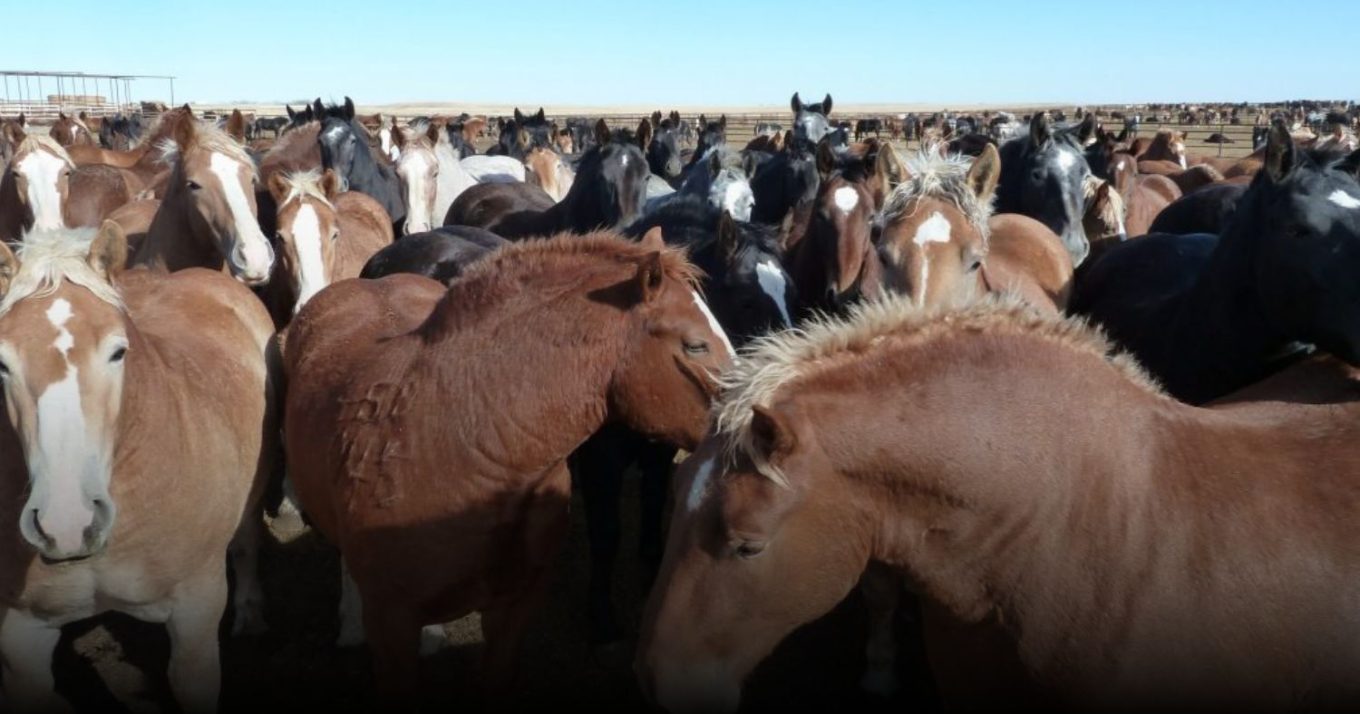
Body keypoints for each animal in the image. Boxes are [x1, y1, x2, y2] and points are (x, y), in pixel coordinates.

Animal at [0, 222, 276, 713]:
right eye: (3, 364)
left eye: (117, 352)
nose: (67, 525)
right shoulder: (22, 633)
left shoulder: (195, 612)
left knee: (246, 542)